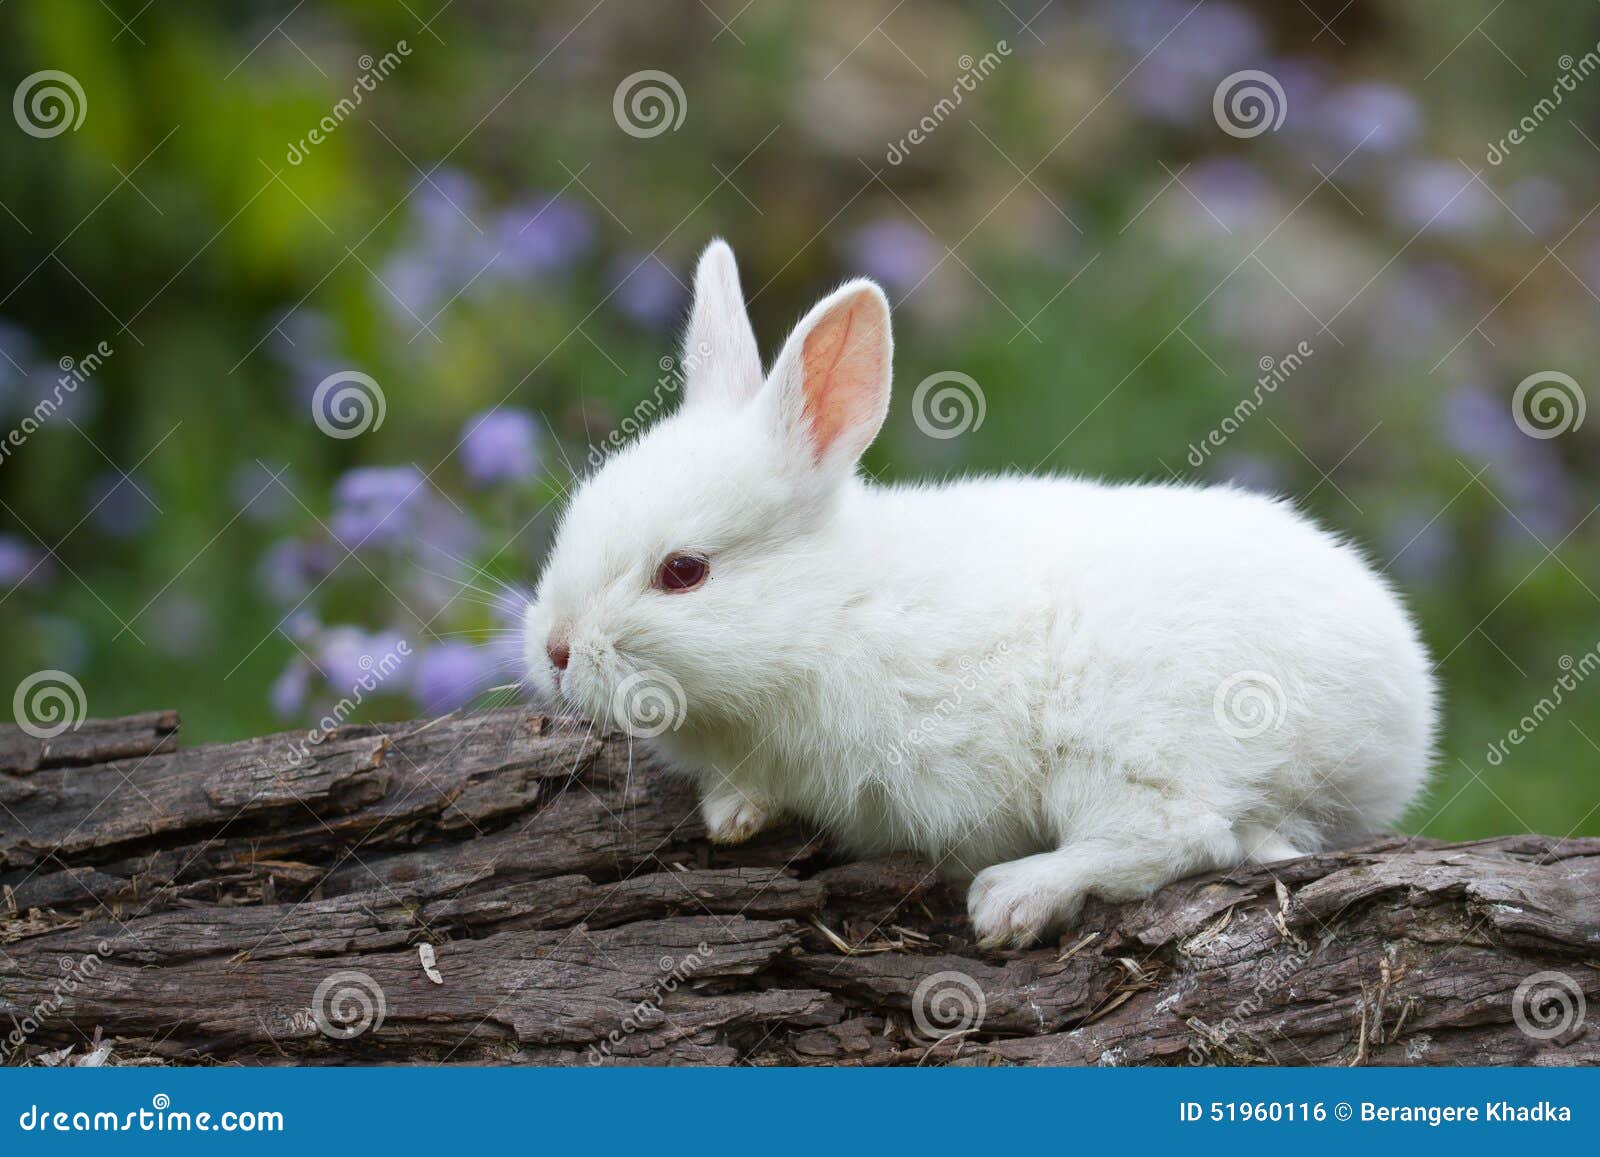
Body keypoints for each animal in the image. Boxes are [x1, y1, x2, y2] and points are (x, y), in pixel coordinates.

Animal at [523, 239, 1437, 948]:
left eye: (684, 571)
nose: (555, 650)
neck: (833, 609)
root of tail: (1398, 720)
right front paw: (732, 815)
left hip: (1130, 747)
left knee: (1183, 834)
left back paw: (1014, 898)